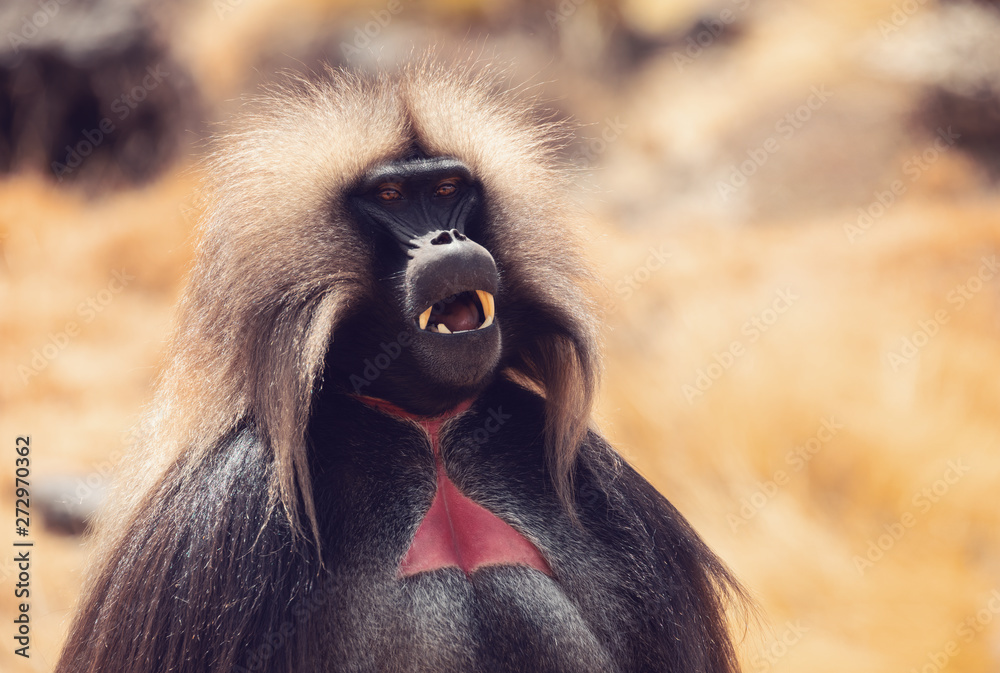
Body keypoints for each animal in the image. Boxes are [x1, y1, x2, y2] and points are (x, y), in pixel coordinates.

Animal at [55, 59, 747, 673]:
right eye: (390, 196)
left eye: (447, 191)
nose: (449, 240)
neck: (430, 431)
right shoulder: (221, 510)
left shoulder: (605, 490)